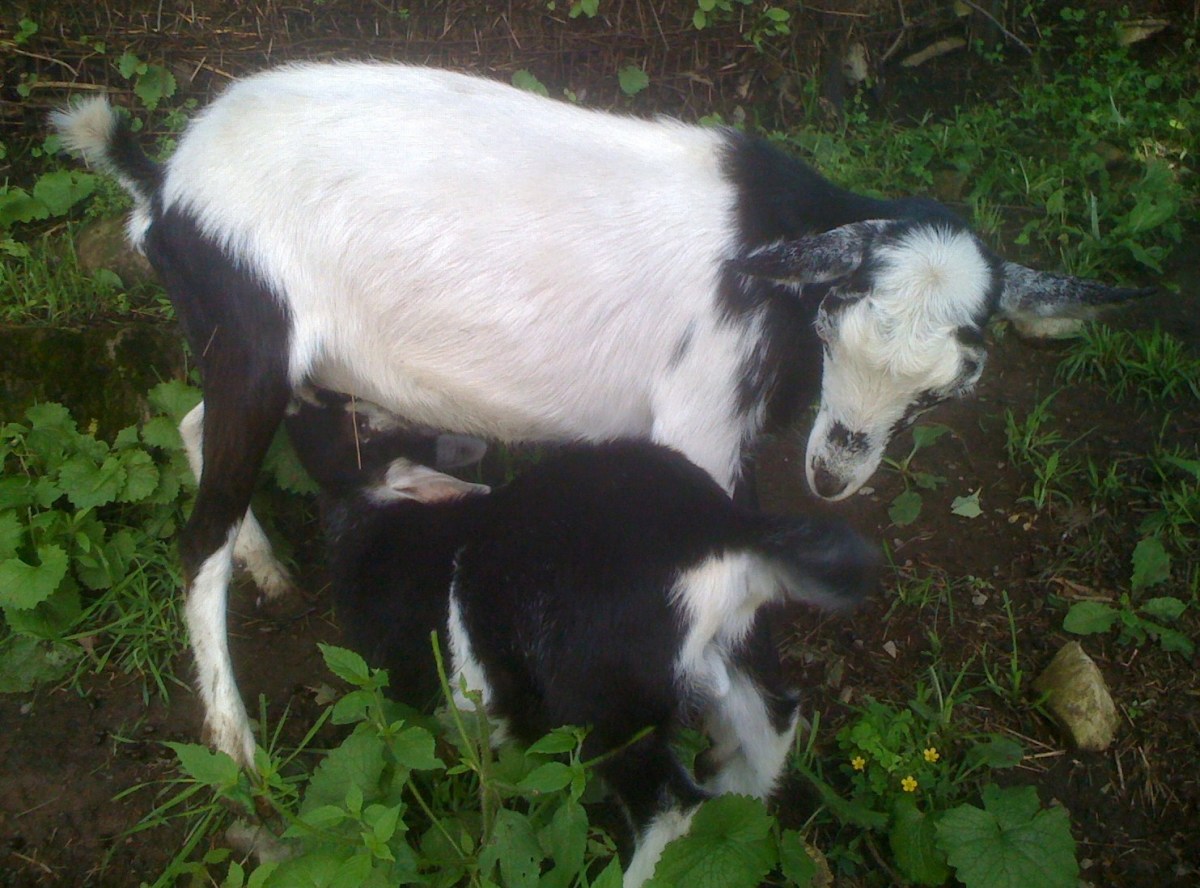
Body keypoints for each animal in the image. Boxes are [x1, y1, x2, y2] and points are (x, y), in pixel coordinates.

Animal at [52, 62, 1147, 764]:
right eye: (836, 322)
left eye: (942, 389)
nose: (835, 468)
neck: (779, 252)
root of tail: (164, 185)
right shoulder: (701, 418)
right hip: (250, 336)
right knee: (195, 532)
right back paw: (236, 744)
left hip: (267, 355)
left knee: (204, 434)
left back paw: (280, 564)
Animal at [285, 387, 877, 887]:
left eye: (362, 423)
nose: (299, 398)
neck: (382, 523)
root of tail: (722, 531)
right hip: (737, 636)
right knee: (773, 720)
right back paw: (738, 803)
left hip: (605, 704)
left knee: (671, 807)